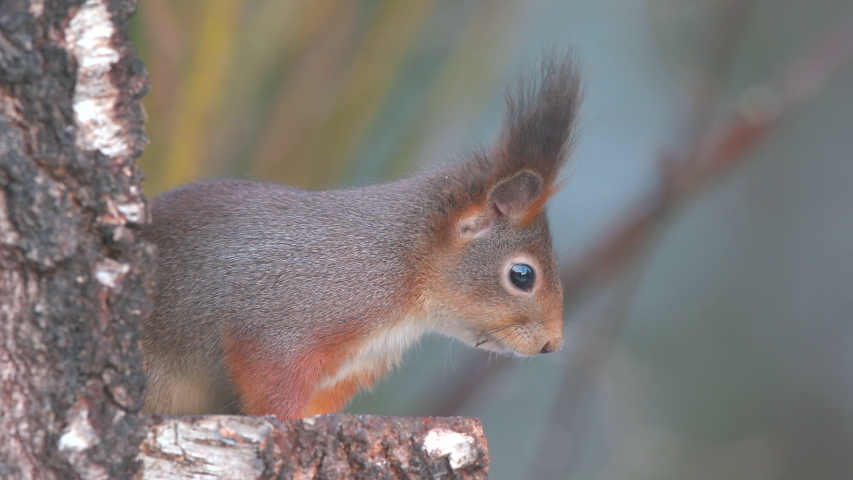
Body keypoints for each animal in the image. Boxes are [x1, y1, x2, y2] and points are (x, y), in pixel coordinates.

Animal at [140, 54, 581, 420]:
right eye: (522, 276)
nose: (553, 344)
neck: (405, 266)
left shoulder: (351, 369)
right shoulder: (291, 319)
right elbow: (272, 384)